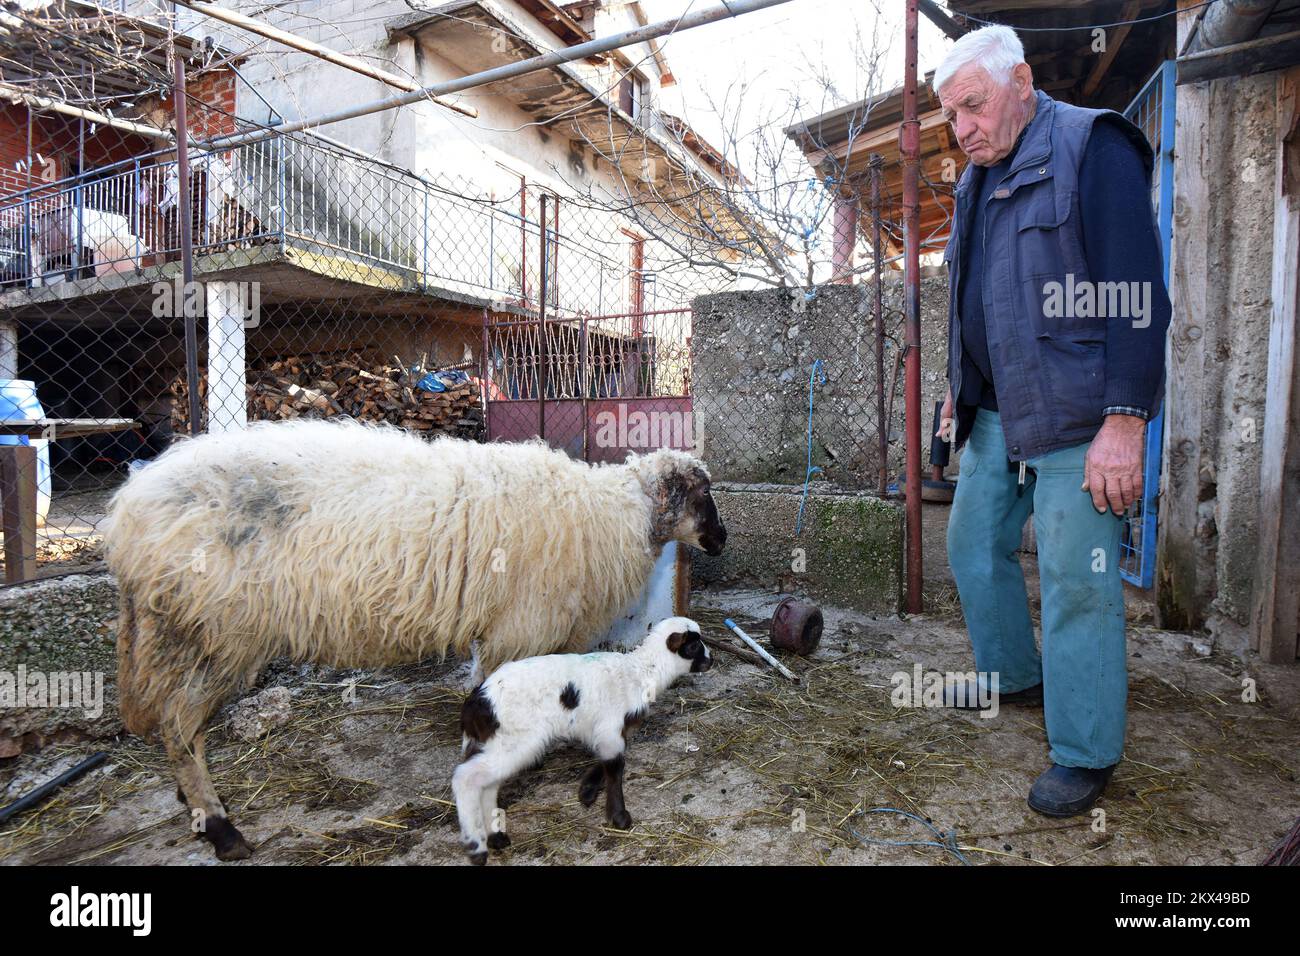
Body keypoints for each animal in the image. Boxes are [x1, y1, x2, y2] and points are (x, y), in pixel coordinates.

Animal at [453, 615, 711, 864]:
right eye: (694, 645)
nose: (711, 660)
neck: (641, 672)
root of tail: (477, 702)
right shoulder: (610, 725)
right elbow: (615, 766)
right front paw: (620, 818)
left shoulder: (609, 731)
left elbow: (609, 759)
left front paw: (587, 792)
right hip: (515, 739)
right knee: (466, 778)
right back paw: (476, 847)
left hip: (498, 743)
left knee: (487, 784)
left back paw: (496, 837)